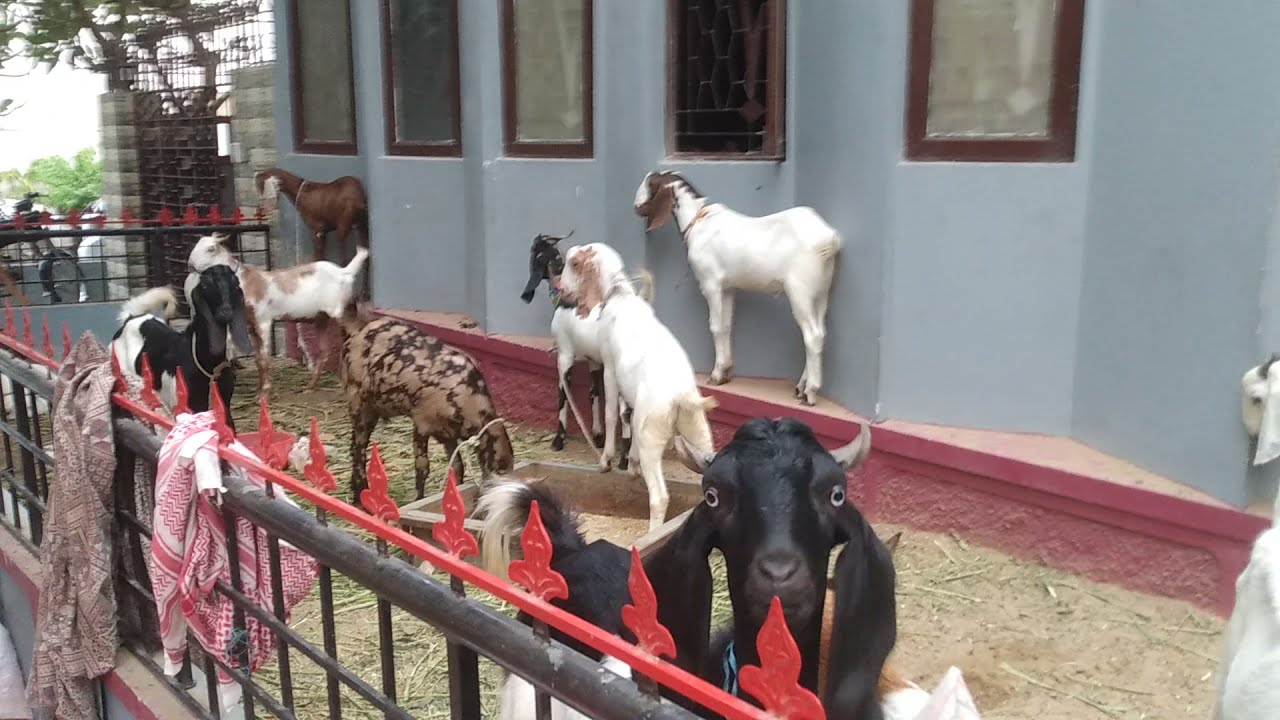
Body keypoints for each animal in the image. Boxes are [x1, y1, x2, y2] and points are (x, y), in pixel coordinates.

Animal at [185, 233, 369, 396]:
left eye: (210, 248)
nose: (190, 265)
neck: (247, 282)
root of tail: (345, 271)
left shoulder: (263, 321)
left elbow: (265, 358)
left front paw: (265, 392)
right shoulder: (251, 324)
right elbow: (258, 360)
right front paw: (259, 390)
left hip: (340, 311)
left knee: (358, 333)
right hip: (322, 317)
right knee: (325, 351)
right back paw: (310, 387)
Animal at [337, 306, 515, 502]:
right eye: (500, 469)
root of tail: (358, 328)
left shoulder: (447, 434)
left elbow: (457, 467)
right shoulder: (422, 424)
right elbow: (422, 468)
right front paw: (419, 499)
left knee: (354, 447)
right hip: (359, 405)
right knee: (358, 451)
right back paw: (360, 494)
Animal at [521, 231, 655, 468]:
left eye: (536, 251)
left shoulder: (564, 355)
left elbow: (563, 396)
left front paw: (558, 439)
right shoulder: (594, 361)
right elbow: (594, 393)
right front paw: (597, 434)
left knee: (624, 412)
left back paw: (623, 459)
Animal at [556, 241, 717, 531]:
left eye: (574, 263)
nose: (562, 290)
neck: (621, 298)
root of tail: (681, 399)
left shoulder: (609, 368)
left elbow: (611, 414)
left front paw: (607, 460)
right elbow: (625, 414)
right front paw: (629, 464)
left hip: (651, 436)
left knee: (660, 496)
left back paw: (653, 533)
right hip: (698, 434)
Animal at [634, 171, 842, 406]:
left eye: (651, 183)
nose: (635, 205)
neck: (699, 220)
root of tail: (828, 237)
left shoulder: (711, 283)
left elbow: (715, 326)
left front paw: (716, 375)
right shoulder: (727, 288)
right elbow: (726, 325)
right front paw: (726, 372)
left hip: (800, 291)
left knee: (812, 336)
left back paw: (811, 392)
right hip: (821, 292)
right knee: (819, 333)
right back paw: (801, 386)